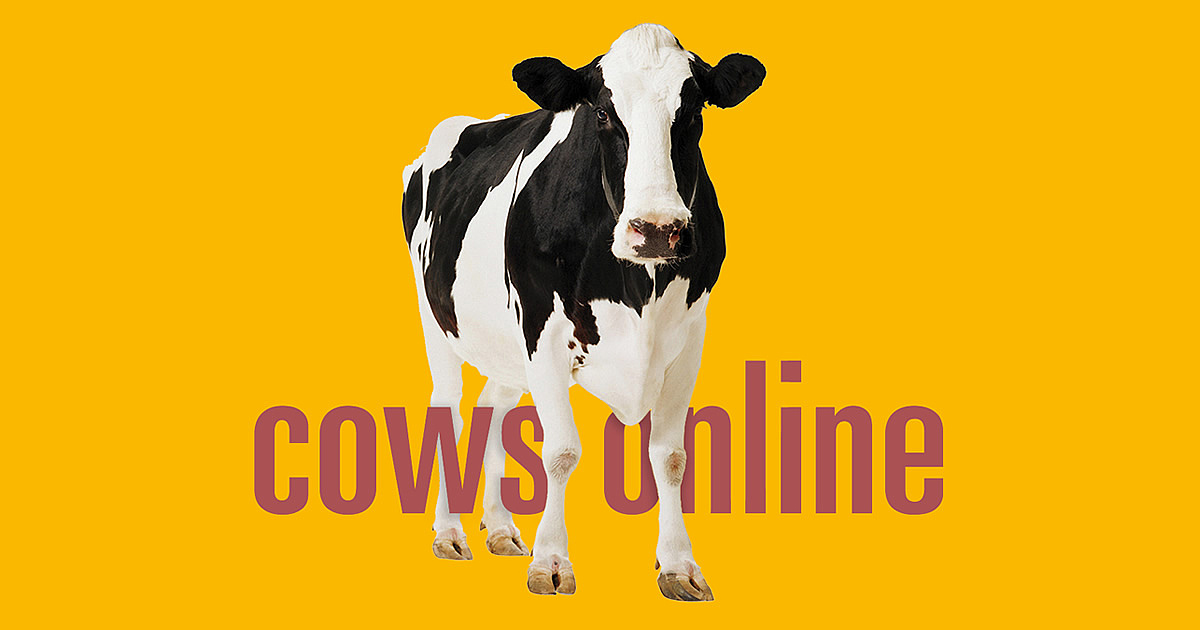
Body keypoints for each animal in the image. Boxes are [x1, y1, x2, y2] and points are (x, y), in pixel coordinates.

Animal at [400, 23, 764, 601]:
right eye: (602, 113)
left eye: (693, 110)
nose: (657, 229)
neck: (637, 285)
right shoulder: (541, 333)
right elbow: (561, 451)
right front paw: (551, 562)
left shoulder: (689, 338)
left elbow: (671, 456)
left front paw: (678, 565)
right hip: (436, 319)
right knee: (449, 411)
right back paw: (449, 533)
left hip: (506, 349)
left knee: (491, 410)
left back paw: (500, 528)